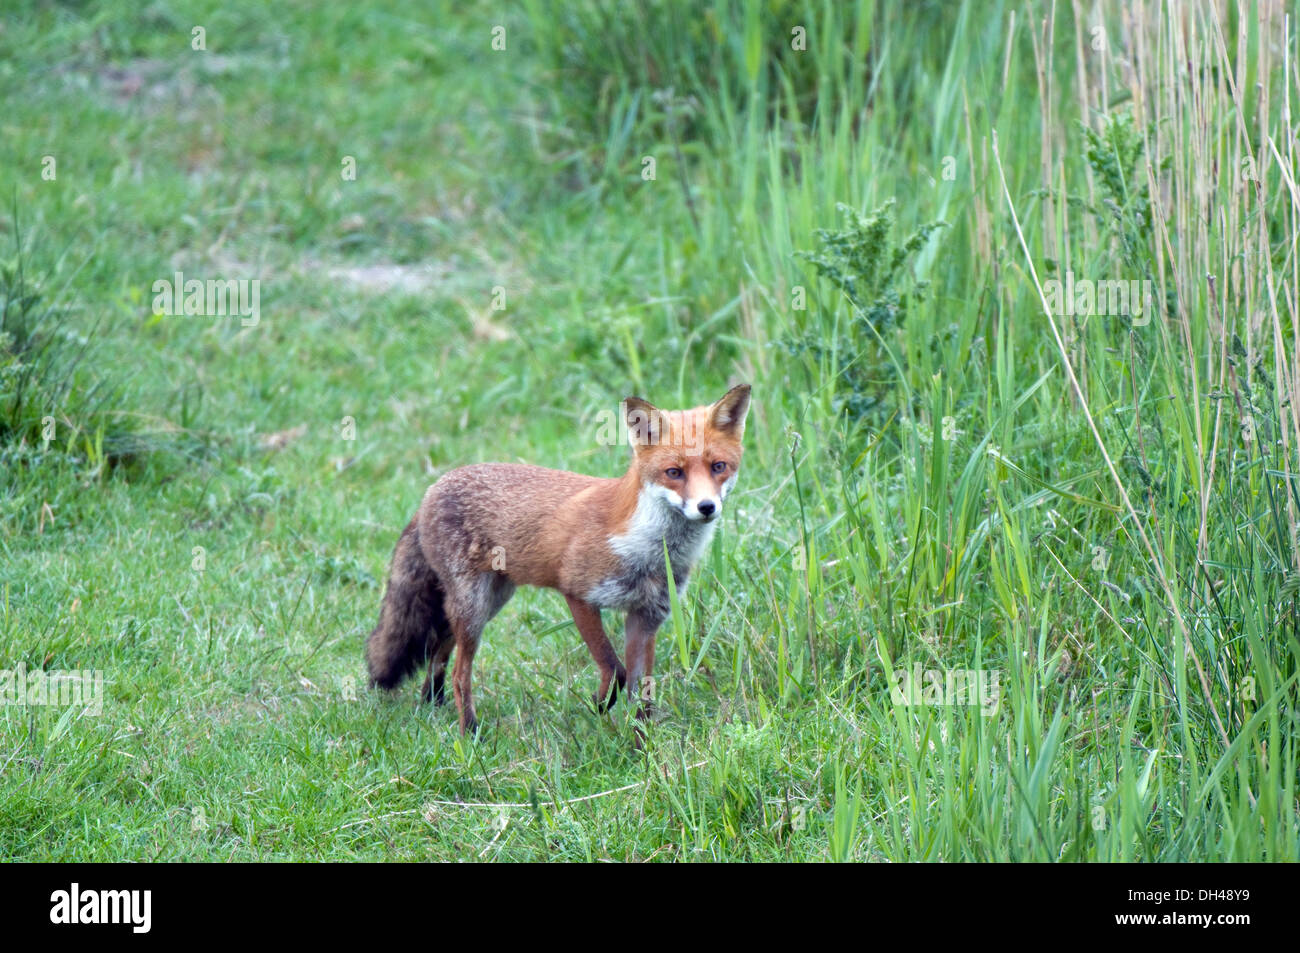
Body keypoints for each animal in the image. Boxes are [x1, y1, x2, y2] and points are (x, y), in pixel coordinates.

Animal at [365, 384, 751, 735]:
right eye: (674, 472)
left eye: (718, 467)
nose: (706, 507)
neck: (650, 551)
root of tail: (430, 491)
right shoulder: (578, 594)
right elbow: (615, 670)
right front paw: (599, 705)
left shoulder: (647, 616)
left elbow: (642, 693)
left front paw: (643, 749)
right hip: (474, 607)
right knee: (461, 673)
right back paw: (469, 733)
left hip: (489, 602)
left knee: (438, 649)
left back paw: (432, 703)